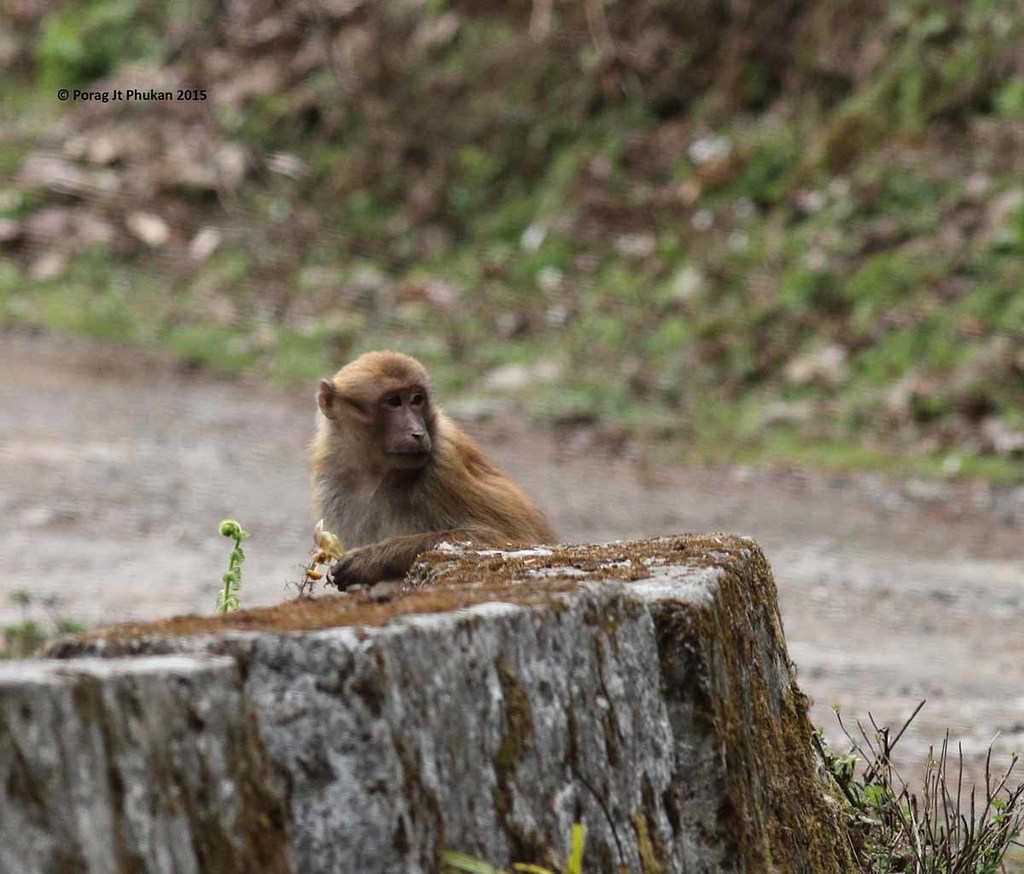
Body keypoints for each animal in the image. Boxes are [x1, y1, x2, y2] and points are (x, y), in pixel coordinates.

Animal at [310, 351, 556, 589]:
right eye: (393, 401)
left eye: (417, 399)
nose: (418, 433)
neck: (376, 473)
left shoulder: (445, 468)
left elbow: (509, 538)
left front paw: (370, 559)